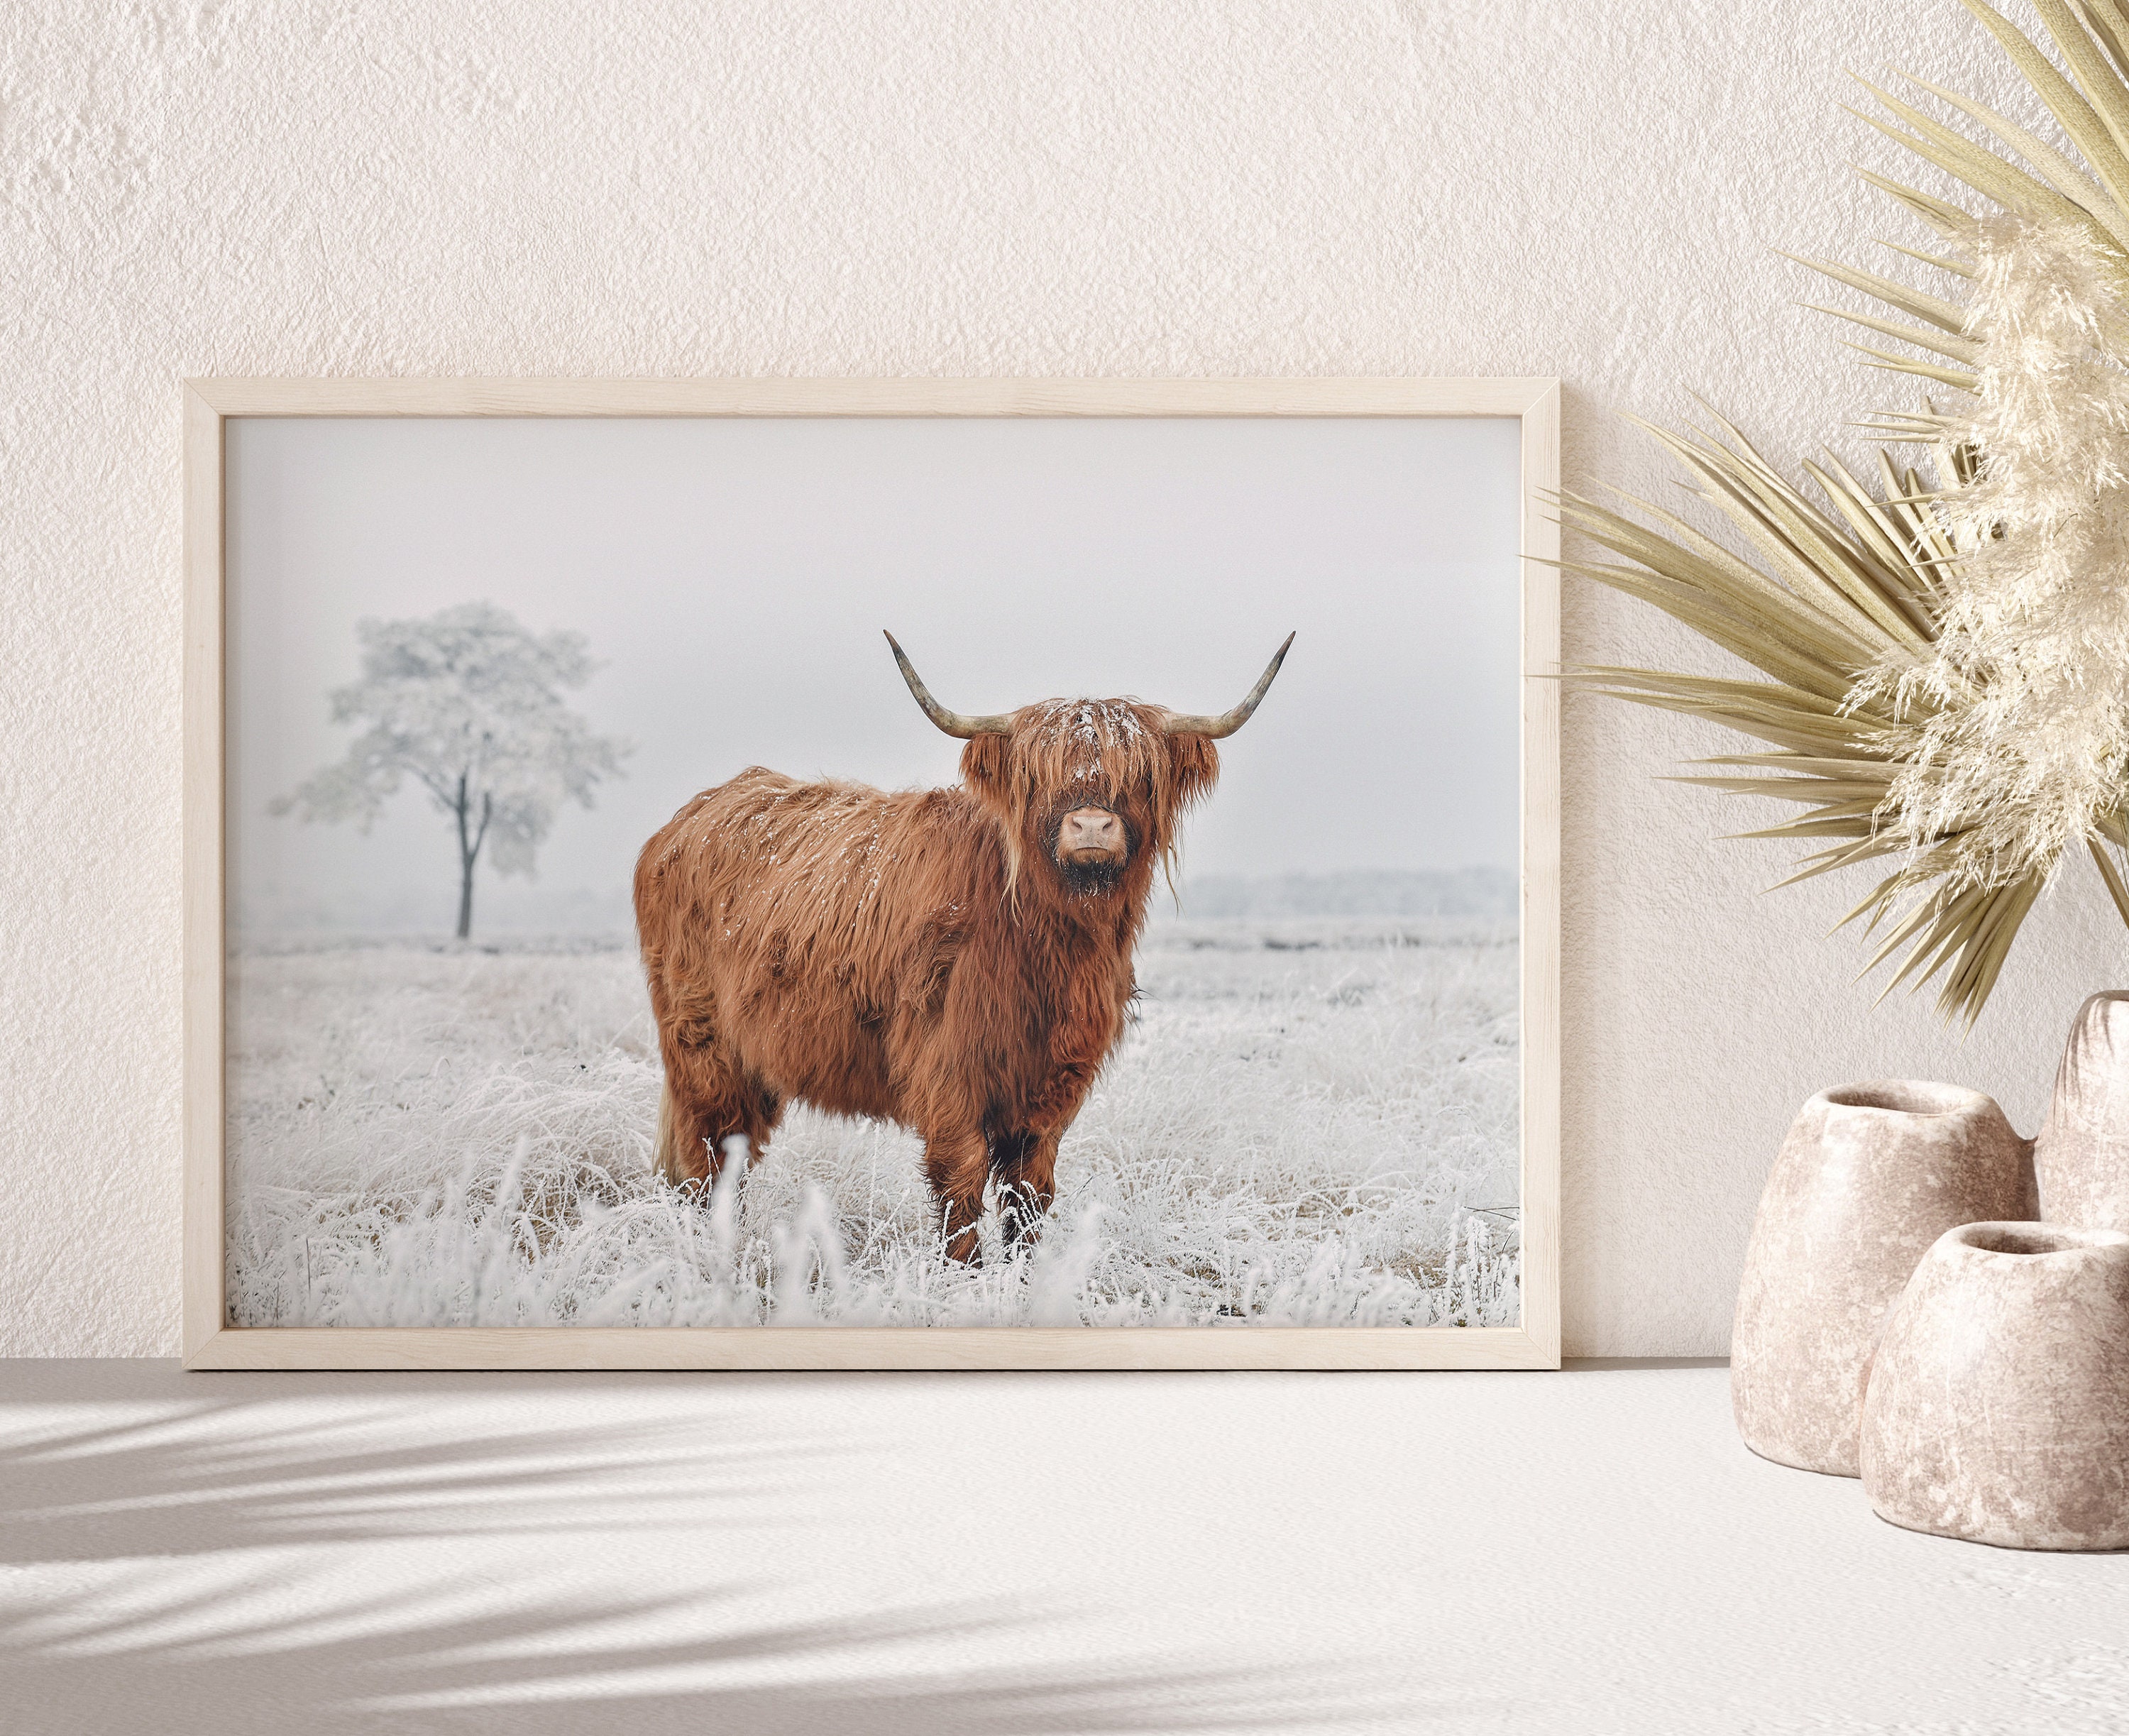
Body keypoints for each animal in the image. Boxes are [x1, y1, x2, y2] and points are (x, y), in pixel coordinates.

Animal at [632, 631, 1293, 1263]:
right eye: (1038, 776)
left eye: (1138, 775)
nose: (1091, 827)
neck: (1049, 948)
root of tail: (689, 818)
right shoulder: (948, 1073)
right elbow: (962, 1186)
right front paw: (965, 1276)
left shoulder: (1052, 1088)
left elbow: (1030, 1194)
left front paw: (1027, 1276)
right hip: (702, 1047)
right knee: (708, 1156)